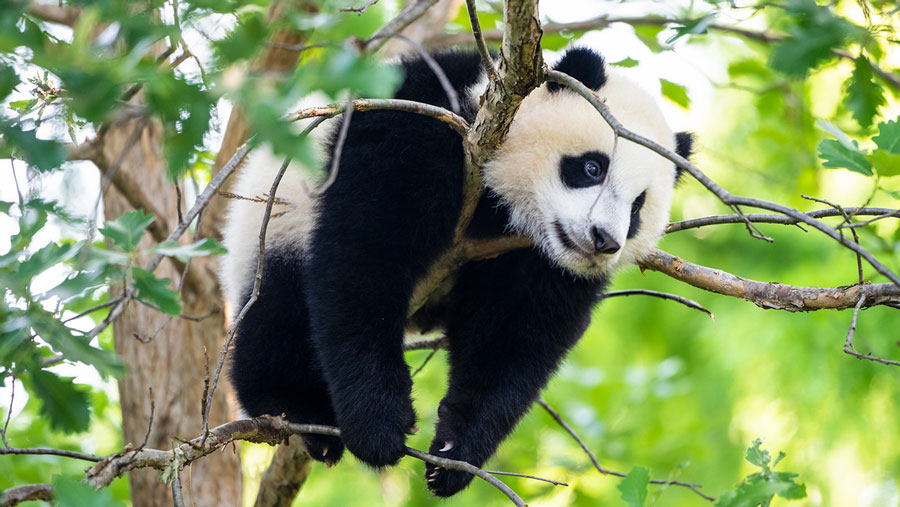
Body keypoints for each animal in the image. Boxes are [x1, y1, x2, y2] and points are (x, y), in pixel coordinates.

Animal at [220, 47, 693, 497]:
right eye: (592, 167)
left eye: (638, 207)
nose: (603, 241)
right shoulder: (417, 128)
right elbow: (365, 255)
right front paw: (380, 426)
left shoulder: (539, 263)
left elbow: (514, 333)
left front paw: (453, 453)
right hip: (274, 227)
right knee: (276, 314)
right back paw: (296, 410)